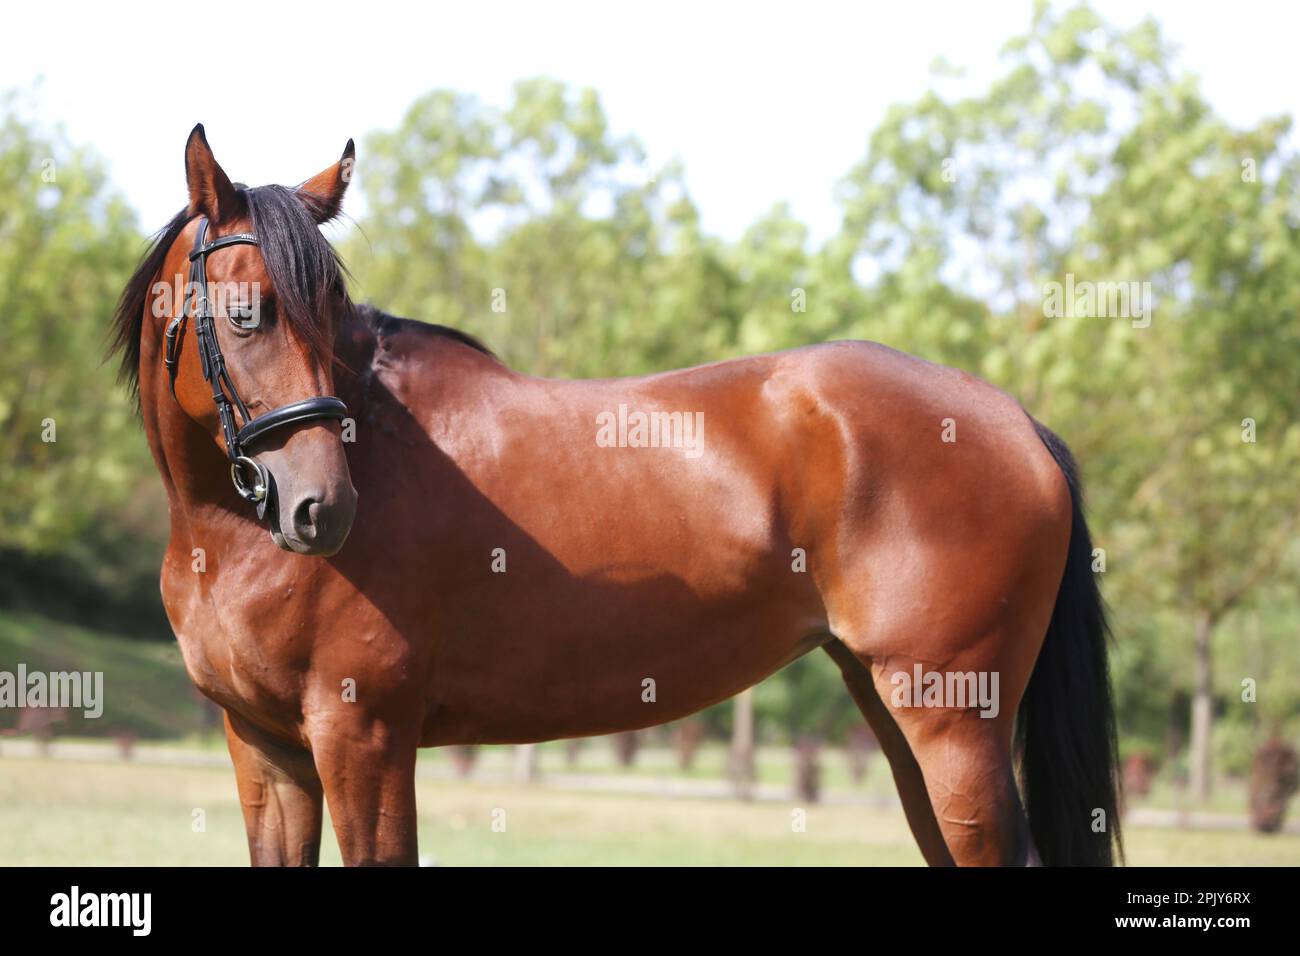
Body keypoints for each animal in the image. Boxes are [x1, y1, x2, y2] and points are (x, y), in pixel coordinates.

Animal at [111, 125, 1121, 866]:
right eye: (248, 311)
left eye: (329, 313)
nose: (323, 506)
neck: (228, 533)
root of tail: (1011, 418)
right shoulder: (267, 747)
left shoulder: (362, 735)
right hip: (898, 712)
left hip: (952, 725)